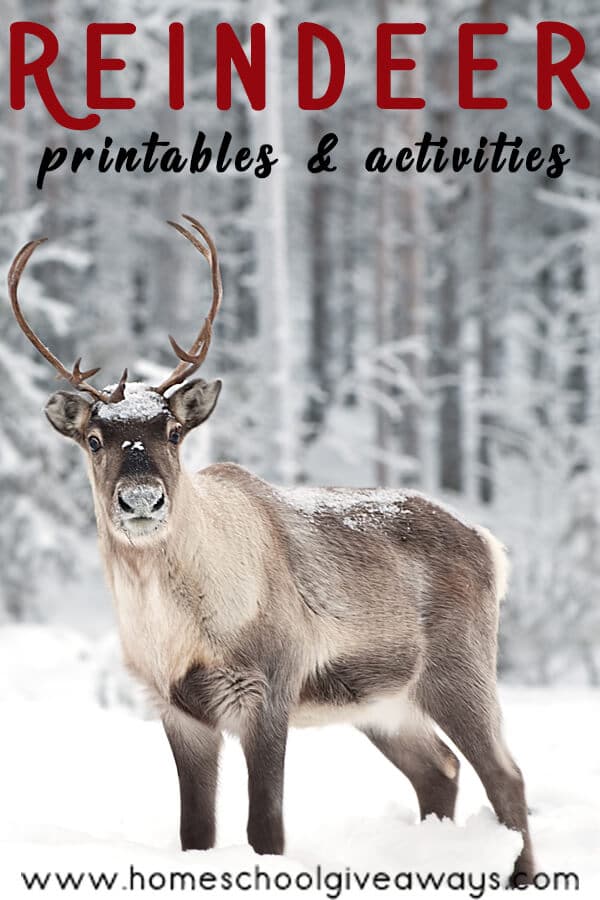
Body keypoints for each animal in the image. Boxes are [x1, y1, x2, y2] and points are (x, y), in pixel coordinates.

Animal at [7, 216, 535, 887]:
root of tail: (489, 546)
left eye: (173, 432)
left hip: (459, 670)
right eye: (95, 438)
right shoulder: (178, 710)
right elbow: (196, 834)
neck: (177, 628)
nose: (142, 500)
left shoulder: (267, 689)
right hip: (384, 704)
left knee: (506, 775)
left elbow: (267, 829)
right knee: (439, 770)